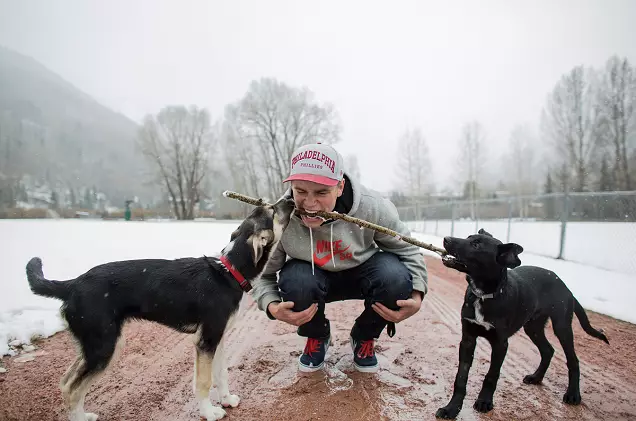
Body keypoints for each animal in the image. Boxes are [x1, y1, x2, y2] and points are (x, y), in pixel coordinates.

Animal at [23, 197, 294, 420]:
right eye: (272, 210)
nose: (290, 199)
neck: (228, 272)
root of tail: (73, 284)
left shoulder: (218, 339)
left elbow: (221, 375)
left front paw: (227, 401)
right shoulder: (205, 341)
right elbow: (204, 382)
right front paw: (209, 412)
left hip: (92, 346)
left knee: (67, 382)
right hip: (103, 346)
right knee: (72, 388)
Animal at [434, 228, 608, 418]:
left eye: (476, 245)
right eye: (469, 237)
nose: (446, 239)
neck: (484, 295)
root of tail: (565, 286)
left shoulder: (501, 343)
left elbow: (492, 375)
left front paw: (484, 401)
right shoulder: (468, 338)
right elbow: (461, 377)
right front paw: (452, 408)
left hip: (562, 326)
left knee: (573, 360)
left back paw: (573, 395)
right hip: (533, 327)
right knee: (548, 350)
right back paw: (536, 378)